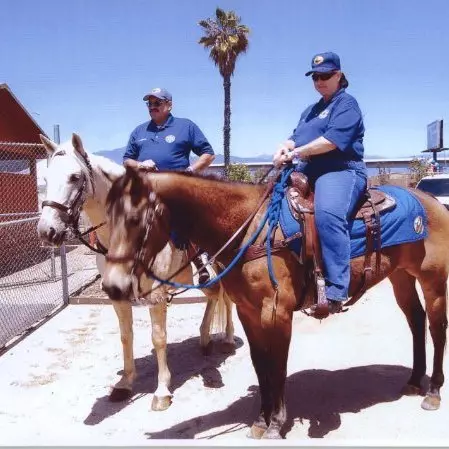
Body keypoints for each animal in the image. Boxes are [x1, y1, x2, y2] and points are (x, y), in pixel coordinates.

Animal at [36, 133, 234, 410]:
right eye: (45, 179)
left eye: (75, 177)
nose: (47, 231)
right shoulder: (116, 296)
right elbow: (126, 336)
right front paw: (125, 383)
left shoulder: (157, 296)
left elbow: (158, 338)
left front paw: (162, 391)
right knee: (215, 296)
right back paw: (205, 340)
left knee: (227, 299)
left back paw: (228, 339)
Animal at [102, 164, 448, 438]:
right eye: (108, 217)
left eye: (134, 219)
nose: (112, 287)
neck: (249, 229)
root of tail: (434, 203)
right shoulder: (247, 312)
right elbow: (261, 365)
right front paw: (260, 419)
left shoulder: (277, 312)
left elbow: (278, 366)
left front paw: (276, 423)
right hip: (401, 276)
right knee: (416, 321)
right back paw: (414, 380)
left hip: (433, 282)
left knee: (436, 327)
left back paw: (432, 391)